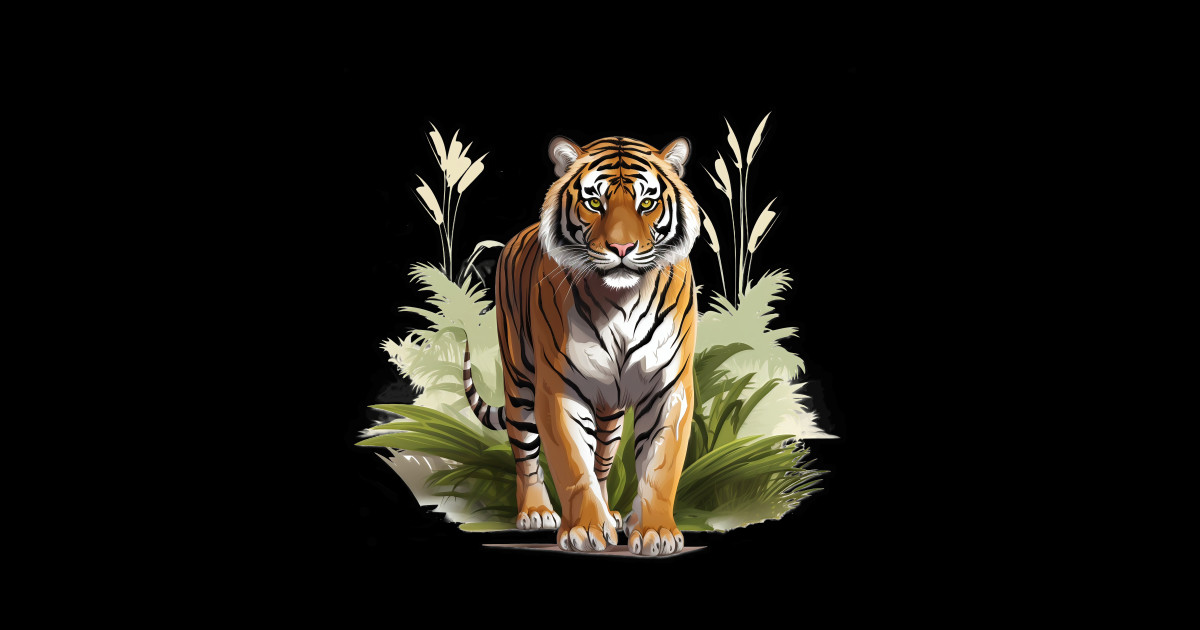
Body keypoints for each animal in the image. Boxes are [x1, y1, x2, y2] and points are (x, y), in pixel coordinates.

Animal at [461, 135, 699, 556]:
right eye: (594, 203)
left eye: (647, 203)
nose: (621, 249)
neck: (622, 300)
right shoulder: (559, 388)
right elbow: (572, 463)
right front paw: (586, 530)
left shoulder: (669, 386)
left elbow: (660, 466)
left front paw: (654, 531)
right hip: (520, 380)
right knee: (525, 452)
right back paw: (536, 512)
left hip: (610, 414)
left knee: (602, 461)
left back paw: (613, 514)